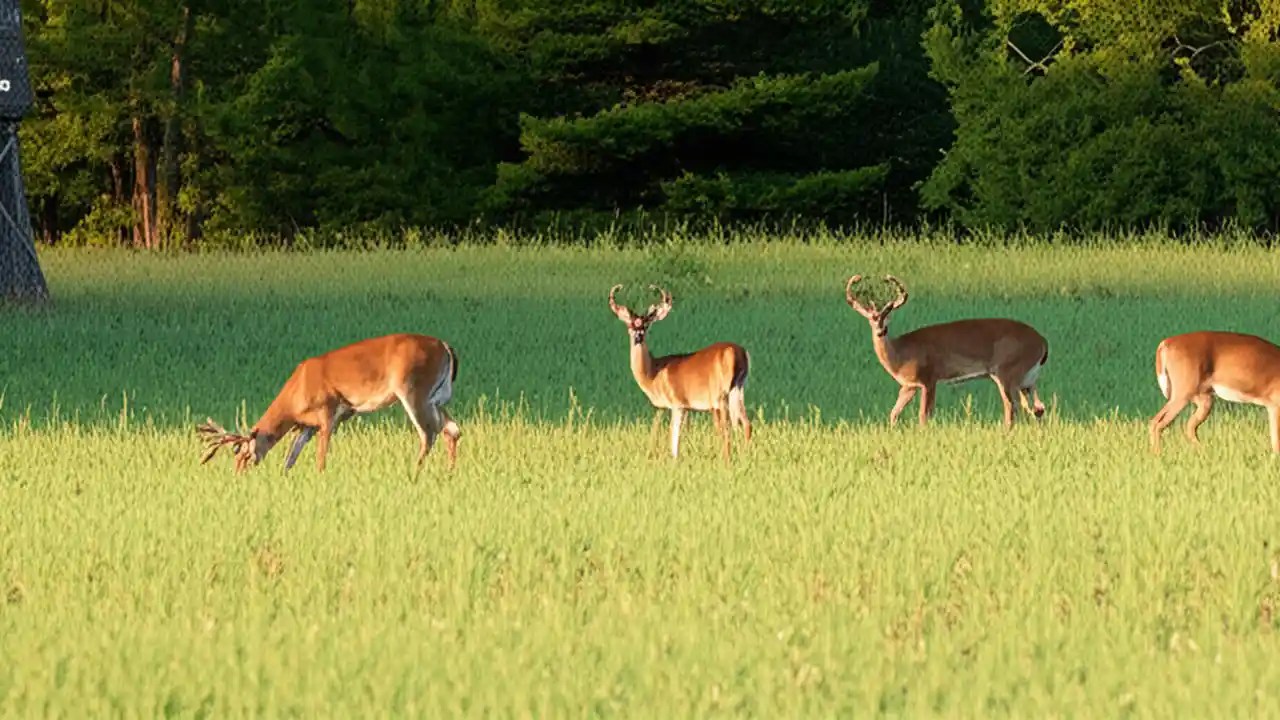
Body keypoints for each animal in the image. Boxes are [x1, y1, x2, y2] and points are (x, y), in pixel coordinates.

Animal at [197, 333, 460, 474]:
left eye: (243, 454)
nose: (238, 476)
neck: (295, 395)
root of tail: (446, 346)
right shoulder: (307, 425)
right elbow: (290, 458)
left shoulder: (327, 411)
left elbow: (321, 457)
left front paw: (320, 477)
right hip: (435, 398)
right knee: (452, 429)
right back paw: (449, 472)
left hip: (413, 389)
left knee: (428, 433)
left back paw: (413, 472)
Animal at [608, 284, 751, 461]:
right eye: (630, 326)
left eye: (646, 326)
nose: (637, 337)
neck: (654, 373)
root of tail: (738, 353)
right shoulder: (682, 407)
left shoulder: (677, 403)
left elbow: (673, 437)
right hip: (738, 389)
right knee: (746, 424)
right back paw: (746, 456)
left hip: (719, 396)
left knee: (726, 428)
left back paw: (726, 460)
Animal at [845, 274, 1049, 428]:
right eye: (871, 320)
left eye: (887, 321)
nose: (880, 331)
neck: (901, 354)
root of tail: (1042, 342)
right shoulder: (908, 385)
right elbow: (893, 413)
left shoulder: (929, 377)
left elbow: (924, 415)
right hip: (1027, 379)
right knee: (1037, 408)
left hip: (1007, 370)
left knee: (1012, 406)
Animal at [1150, 331, 1280, 453]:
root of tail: (1165, 343)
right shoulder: (1276, 404)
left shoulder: (1272, 406)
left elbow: (1274, 439)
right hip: (1182, 393)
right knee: (1156, 423)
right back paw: (1158, 454)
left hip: (1203, 399)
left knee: (1188, 427)